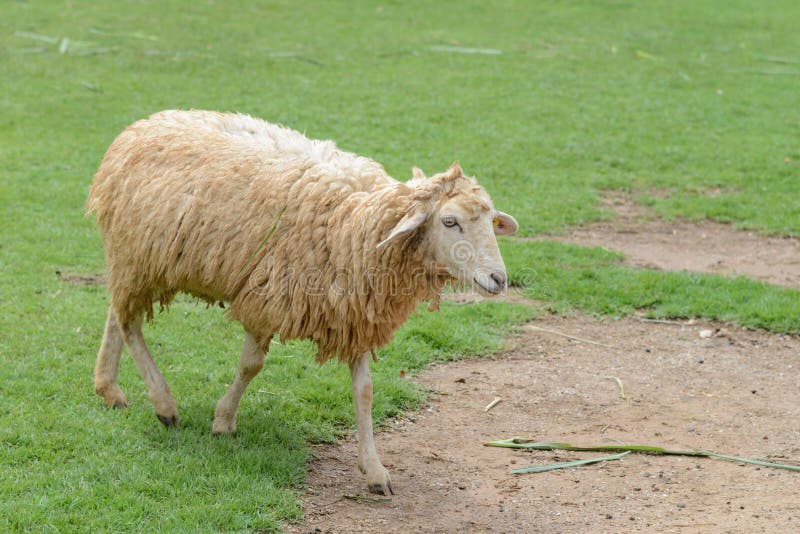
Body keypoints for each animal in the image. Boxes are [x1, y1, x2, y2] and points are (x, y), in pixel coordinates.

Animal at [86, 110, 519, 495]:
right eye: (449, 221)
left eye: (491, 221)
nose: (499, 279)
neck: (356, 224)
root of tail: (143, 124)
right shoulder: (264, 295)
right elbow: (251, 365)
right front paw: (224, 421)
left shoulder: (354, 311)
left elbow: (364, 392)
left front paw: (374, 469)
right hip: (139, 255)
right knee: (129, 322)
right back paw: (164, 404)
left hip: (134, 257)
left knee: (116, 311)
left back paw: (109, 388)